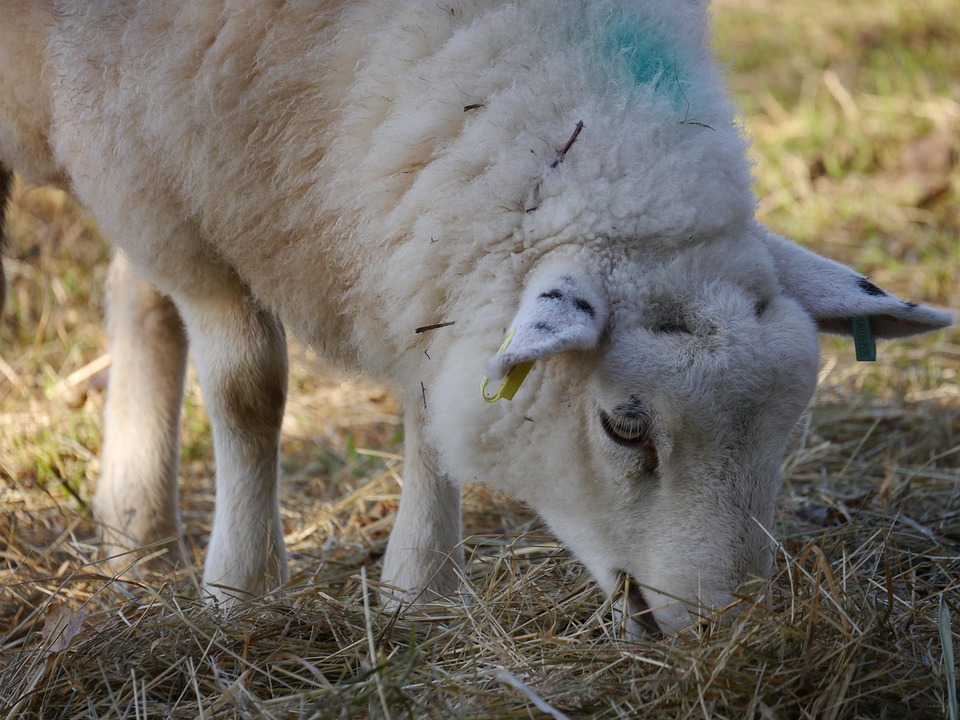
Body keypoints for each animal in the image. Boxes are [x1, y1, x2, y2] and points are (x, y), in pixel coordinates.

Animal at [0, 0, 952, 636]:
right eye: (624, 427)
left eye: (788, 428)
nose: (727, 630)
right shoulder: (152, 159)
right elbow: (247, 388)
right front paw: (242, 589)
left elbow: (436, 405)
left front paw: (419, 591)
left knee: (134, 293)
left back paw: (135, 535)